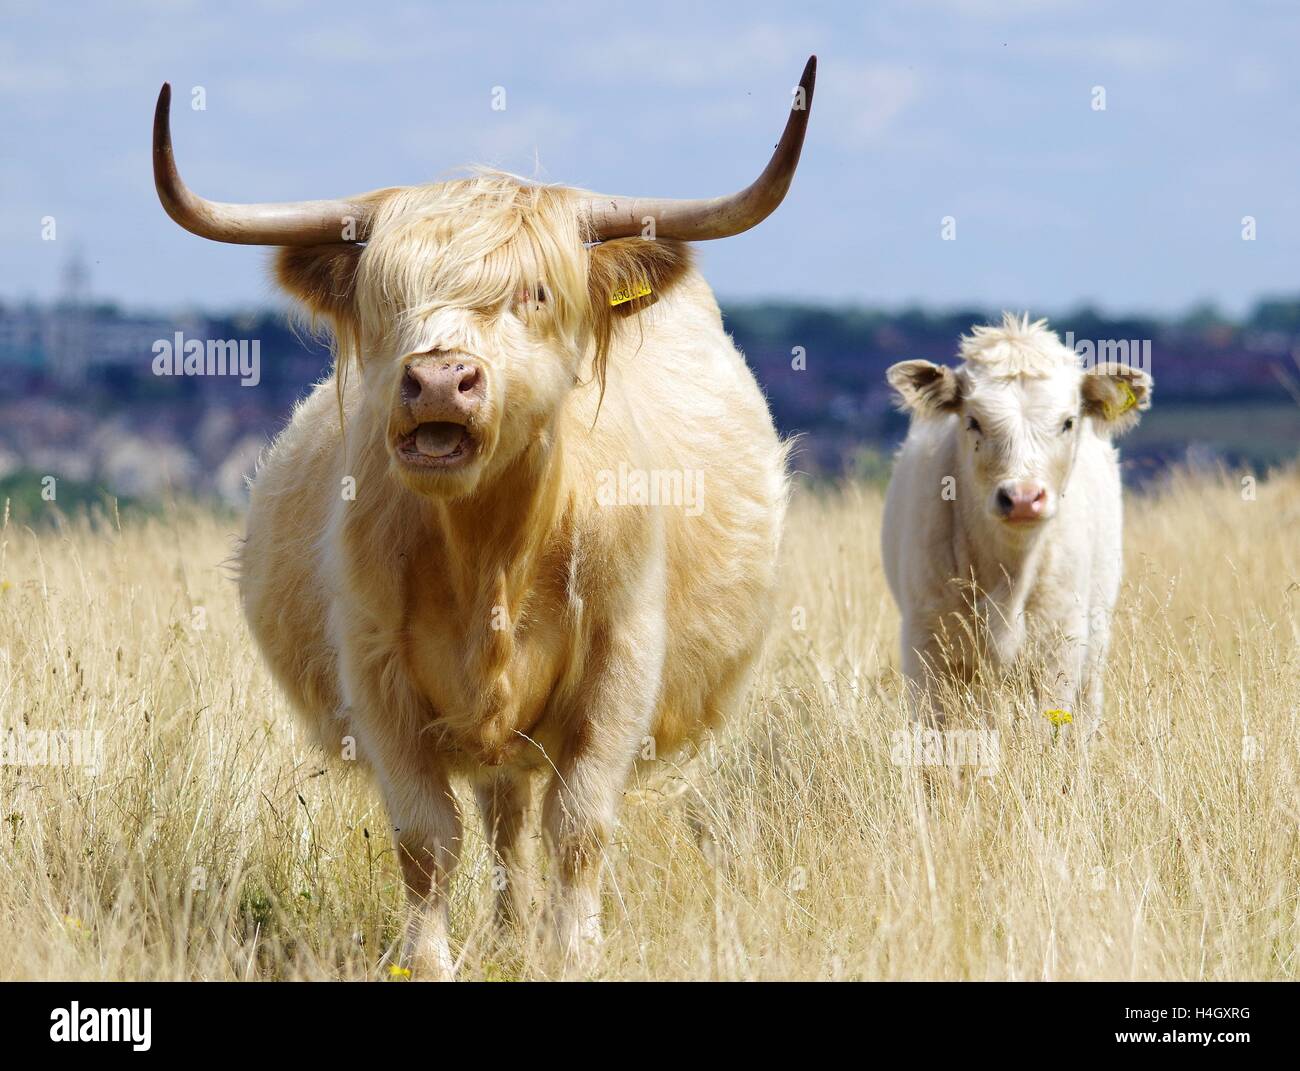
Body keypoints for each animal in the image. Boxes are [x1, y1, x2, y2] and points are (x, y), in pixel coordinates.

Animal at [151, 58, 815, 976]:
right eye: (385, 296)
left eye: (534, 291)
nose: (437, 378)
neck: (491, 548)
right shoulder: (375, 669)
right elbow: (427, 836)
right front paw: (427, 959)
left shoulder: (620, 657)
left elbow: (580, 822)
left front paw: (576, 948)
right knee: (502, 815)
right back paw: (506, 930)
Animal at [882, 314, 1152, 729]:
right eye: (973, 421)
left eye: (1068, 422)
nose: (1023, 498)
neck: (1008, 573)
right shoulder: (927, 642)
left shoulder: (1059, 644)